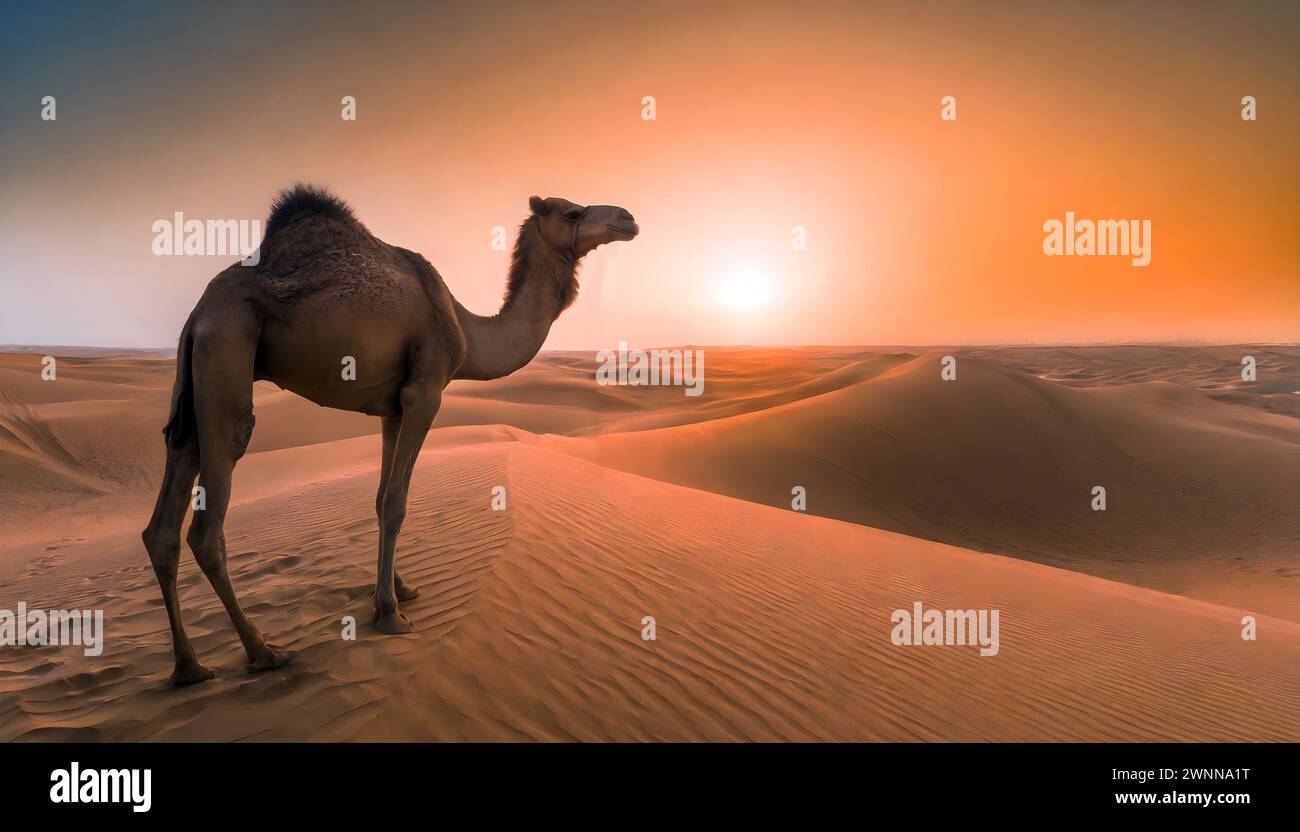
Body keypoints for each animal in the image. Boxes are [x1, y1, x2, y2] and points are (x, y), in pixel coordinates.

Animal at [141, 185, 638, 685]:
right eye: (572, 212)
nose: (628, 218)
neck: (465, 326)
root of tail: (197, 315)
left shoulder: (392, 408)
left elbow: (381, 498)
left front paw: (400, 588)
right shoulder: (426, 391)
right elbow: (397, 503)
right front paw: (389, 613)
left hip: (195, 384)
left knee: (163, 520)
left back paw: (189, 666)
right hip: (227, 350)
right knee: (208, 522)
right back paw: (263, 651)